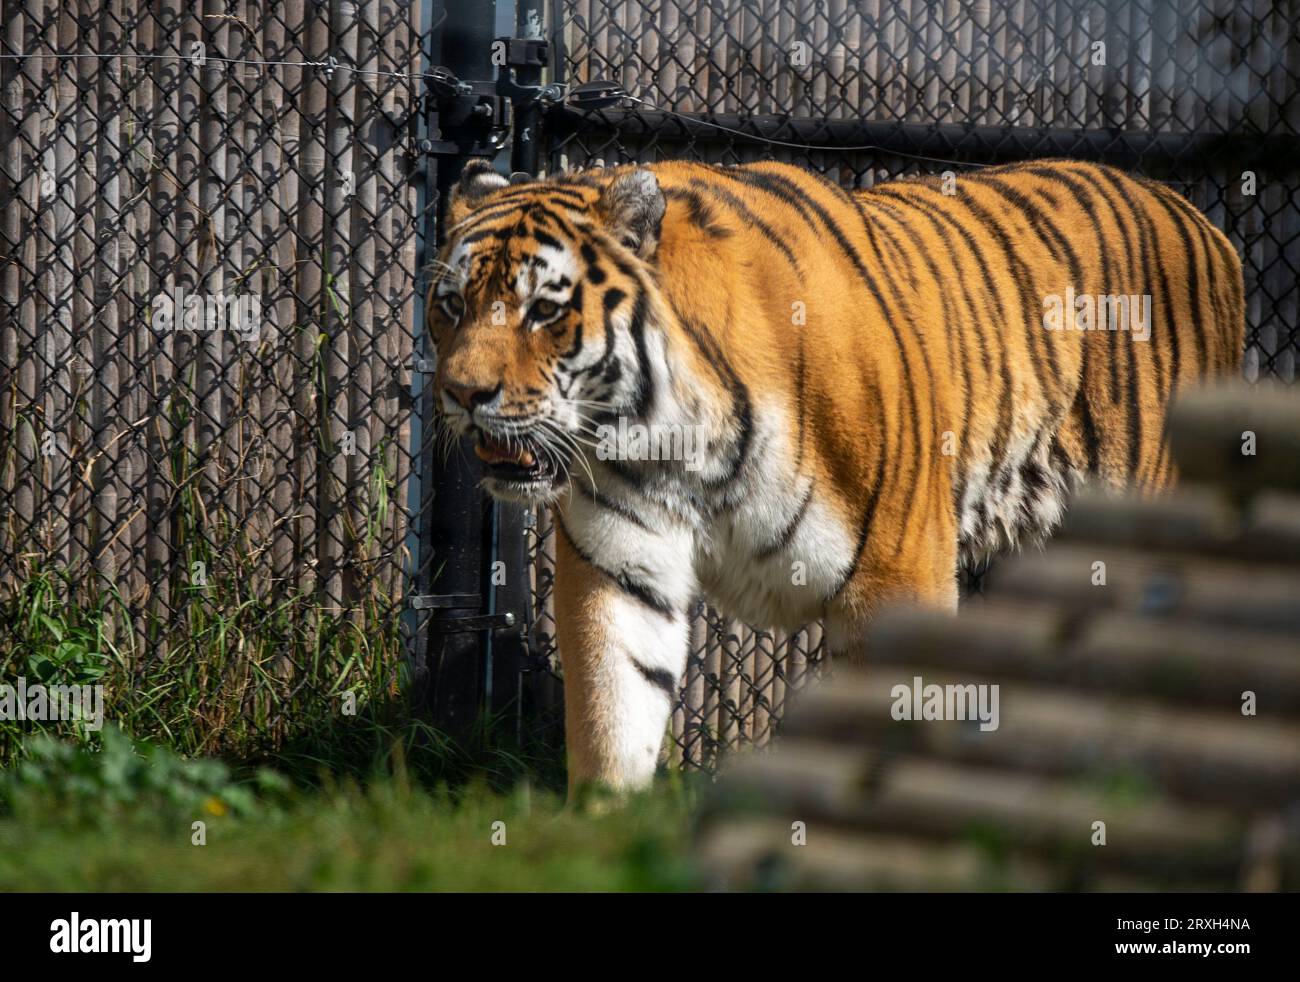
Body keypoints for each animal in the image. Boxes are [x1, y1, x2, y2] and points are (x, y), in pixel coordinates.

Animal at [428, 156, 1244, 793]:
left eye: (543, 310)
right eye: (452, 305)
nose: (463, 394)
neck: (675, 438)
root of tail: (1204, 223)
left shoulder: (897, 576)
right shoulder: (622, 566)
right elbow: (613, 712)